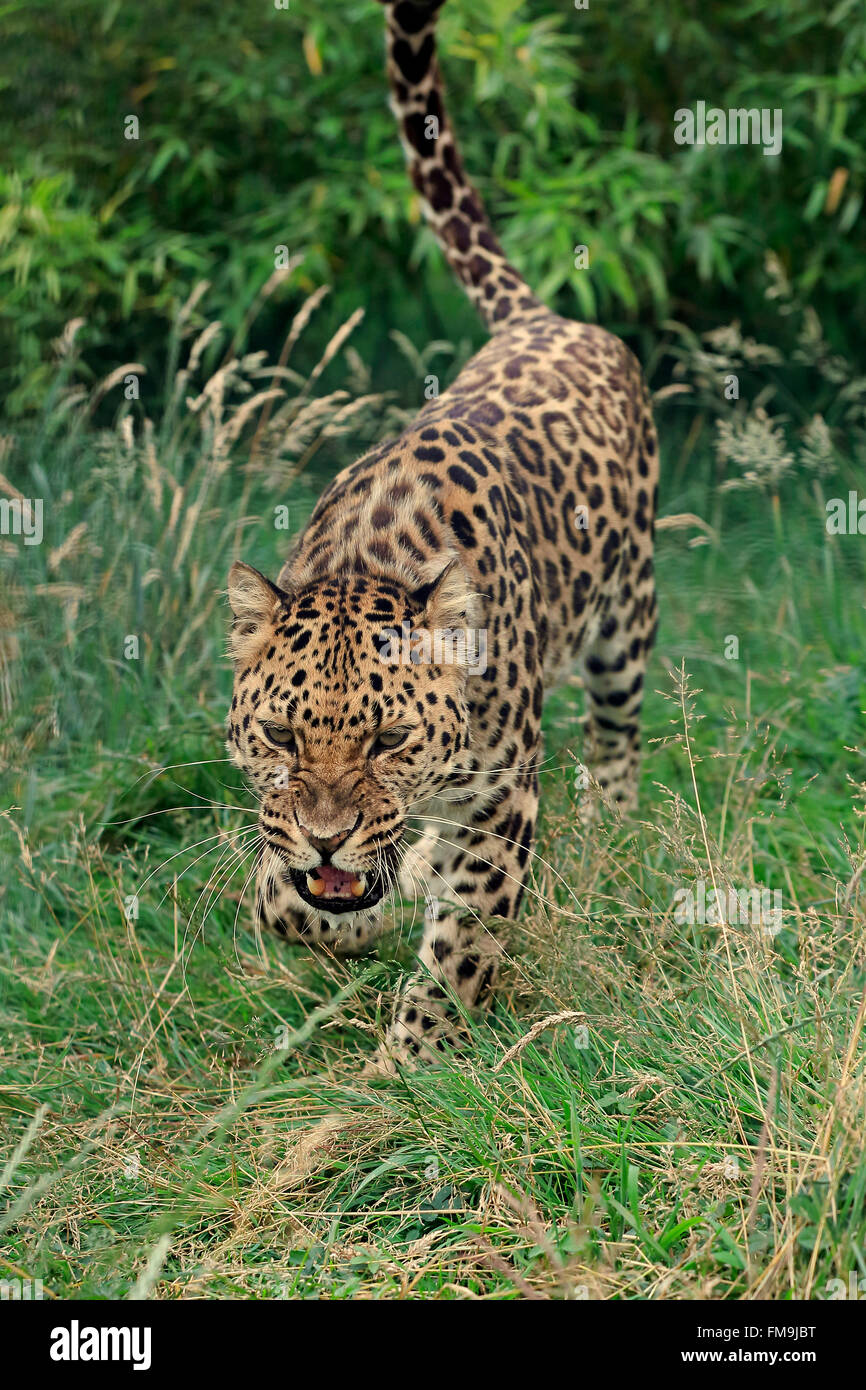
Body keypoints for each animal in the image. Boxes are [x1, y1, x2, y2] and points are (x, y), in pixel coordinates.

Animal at [226, 0, 659, 1070]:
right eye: (282, 735)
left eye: (388, 740)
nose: (329, 837)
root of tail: (546, 321)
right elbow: (282, 898)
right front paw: (338, 907)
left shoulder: (506, 798)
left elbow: (463, 940)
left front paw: (408, 1068)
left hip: (625, 626)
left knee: (618, 737)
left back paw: (612, 830)